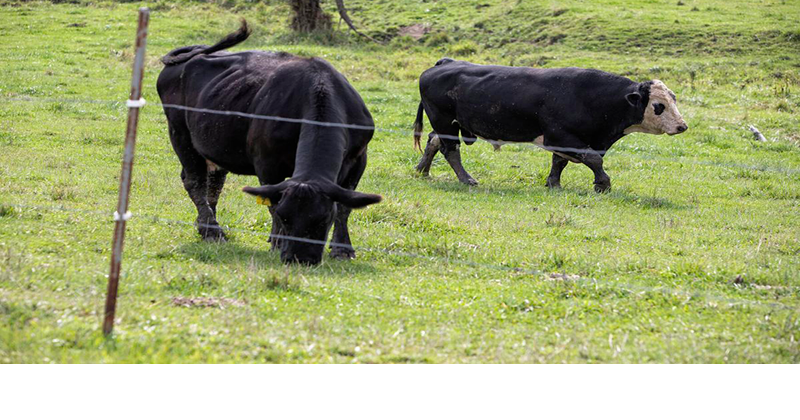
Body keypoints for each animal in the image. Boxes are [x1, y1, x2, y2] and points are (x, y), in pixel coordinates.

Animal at [157, 21, 382, 265]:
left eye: (323, 219)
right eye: (285, 218)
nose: (299, 258)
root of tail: (195, 51)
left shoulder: (359, 158)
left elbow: (344, 206)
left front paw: (342, 249)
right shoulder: (267, 163)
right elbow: (272, 204)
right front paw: (277, 242)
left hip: (213, 144)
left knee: (213, 183)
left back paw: (204, 226)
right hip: (179, 133)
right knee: (194, 181)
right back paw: (212, 231)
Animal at [412, 59, 688, 192]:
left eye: (674, 99)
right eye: (659, 105)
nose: (682, 126)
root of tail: (446, 62)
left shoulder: (564, 140)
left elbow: (560, 162)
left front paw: (553, 183)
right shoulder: (560, 135)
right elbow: (592, 159)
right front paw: (603, 184)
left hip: (446, 123)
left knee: (433, 141)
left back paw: (422, 170)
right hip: (445, 122)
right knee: (451, 150)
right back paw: (466, 179)